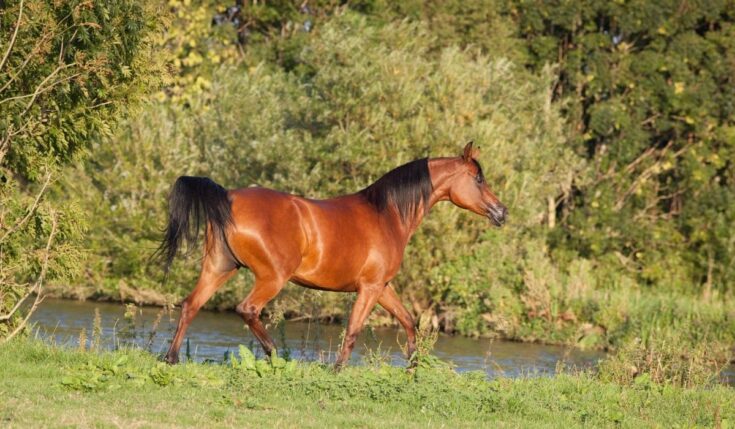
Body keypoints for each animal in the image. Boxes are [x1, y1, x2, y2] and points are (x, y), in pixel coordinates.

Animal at [157, 142, 507, 369]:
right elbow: (353, 330)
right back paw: (275, 355)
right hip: (271, 277)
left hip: (220, 267)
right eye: (478, 179)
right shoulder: (370, 288)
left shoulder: (382, 287)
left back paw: (171, 359)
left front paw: (412, 368)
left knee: (191, 305)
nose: (501, 212)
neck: (387, 214)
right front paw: (338, 370)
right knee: (247, 309)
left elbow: (408, 321)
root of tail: (228, 196)